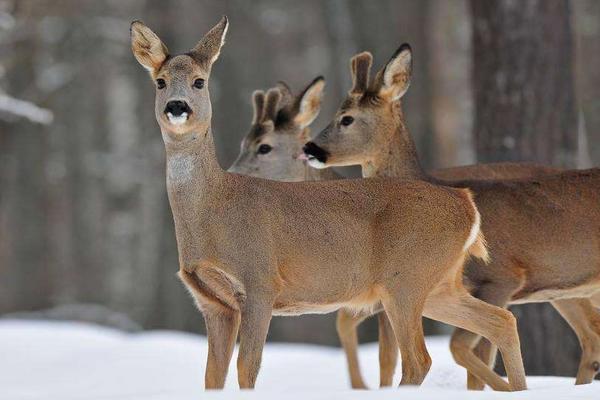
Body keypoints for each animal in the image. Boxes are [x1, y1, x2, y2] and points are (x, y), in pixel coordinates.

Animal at [131, 18, 524, 390]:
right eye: (160, 82)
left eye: (199, 81)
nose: (177, 107)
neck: (214, 210)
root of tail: (466, 203)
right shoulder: (212, 302)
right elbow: (212, 376)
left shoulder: (260, 282)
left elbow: (247, 368)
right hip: (440, 283)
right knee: (501, 320)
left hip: (407, 278)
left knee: (419, 359)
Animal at [302, 45, 600, 390]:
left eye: (347, 118)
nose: (310, 148)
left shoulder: (500, 278)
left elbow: (468, 351)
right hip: (565, 290)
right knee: (591, 337)